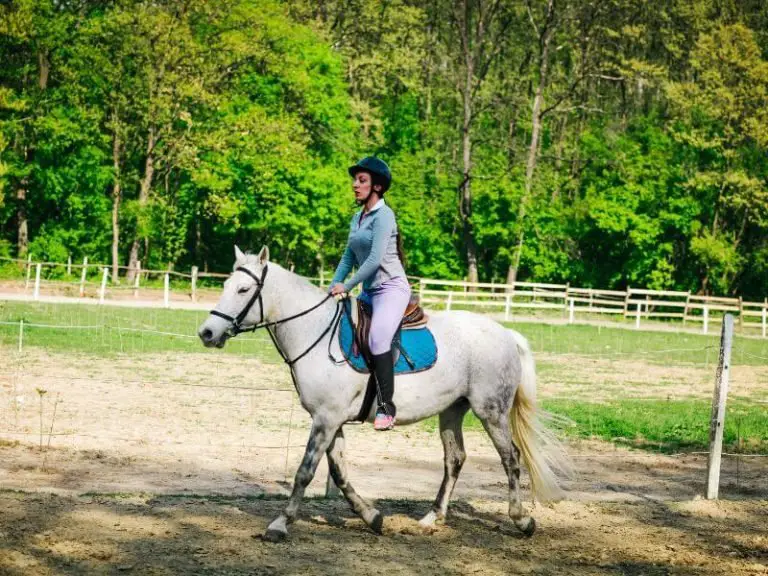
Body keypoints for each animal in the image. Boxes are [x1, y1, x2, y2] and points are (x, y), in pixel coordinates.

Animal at [198, 246, 570, 542]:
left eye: (244, 289)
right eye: (225, 286)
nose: (207, 332)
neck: (314, 331)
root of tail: (506, 333)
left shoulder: (326, 419)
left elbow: (305, 471)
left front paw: (280, 524)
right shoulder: (331, 420)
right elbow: (339, 473)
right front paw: (372, 517)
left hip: (491, 411)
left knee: (511, 458)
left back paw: (522, 520)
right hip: (452, 409)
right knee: (455, 459)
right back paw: (432, 518)